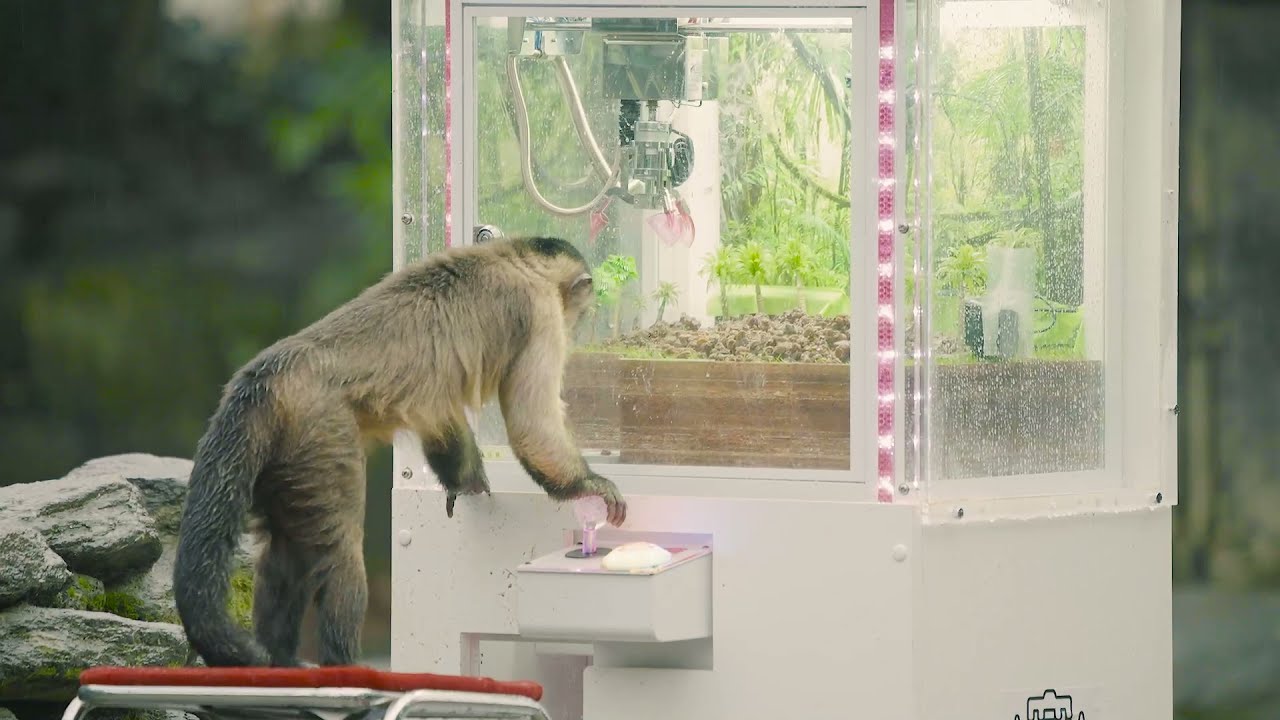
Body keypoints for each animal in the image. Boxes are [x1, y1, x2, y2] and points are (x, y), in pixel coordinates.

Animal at [172, 236, 627, 670]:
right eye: (577, 310)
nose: (579, 325)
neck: (513, 256)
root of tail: (268, 374)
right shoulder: (539, 311)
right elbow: (532, 425)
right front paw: (589, 484)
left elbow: (441, 419)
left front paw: (465, 484)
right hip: (322, 430)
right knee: (337, 553)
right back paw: (342, 664)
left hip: (285, 446)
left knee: (287, 551)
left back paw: (282, 661)